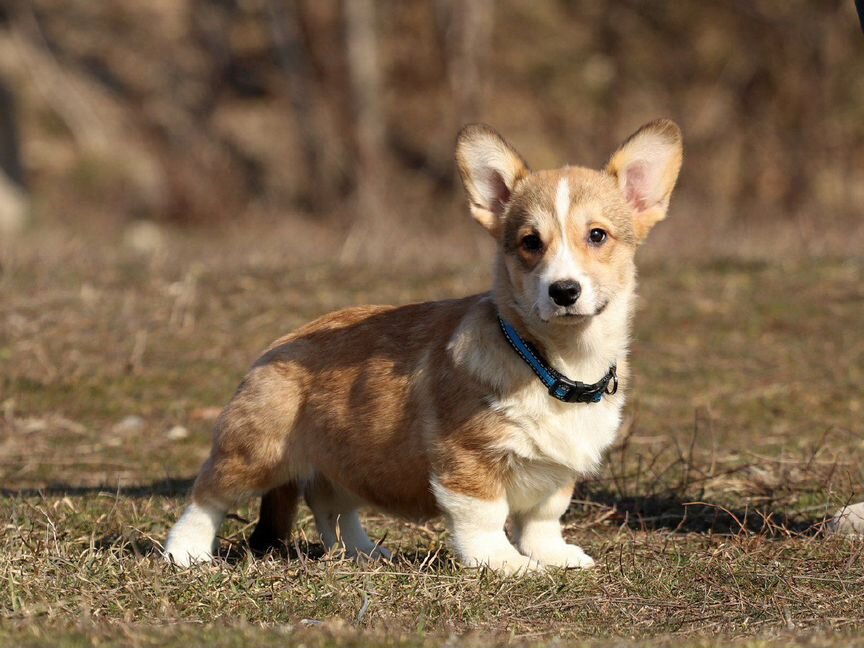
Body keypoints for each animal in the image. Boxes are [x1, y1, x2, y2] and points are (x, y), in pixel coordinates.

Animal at [164, 119, 680, 576]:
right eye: (531, 242)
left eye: (597, 235)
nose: (564, 291)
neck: (554, 364)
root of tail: (275, 345)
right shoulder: (467, 460)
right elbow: (486, 518)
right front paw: (505, 564)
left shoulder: (557, 470)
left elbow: (543, 518)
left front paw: (552, 556)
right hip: (256, 451)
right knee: (206, 496)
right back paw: (185, 553)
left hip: (352, 459)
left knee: (332, 504)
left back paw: (364, 552)